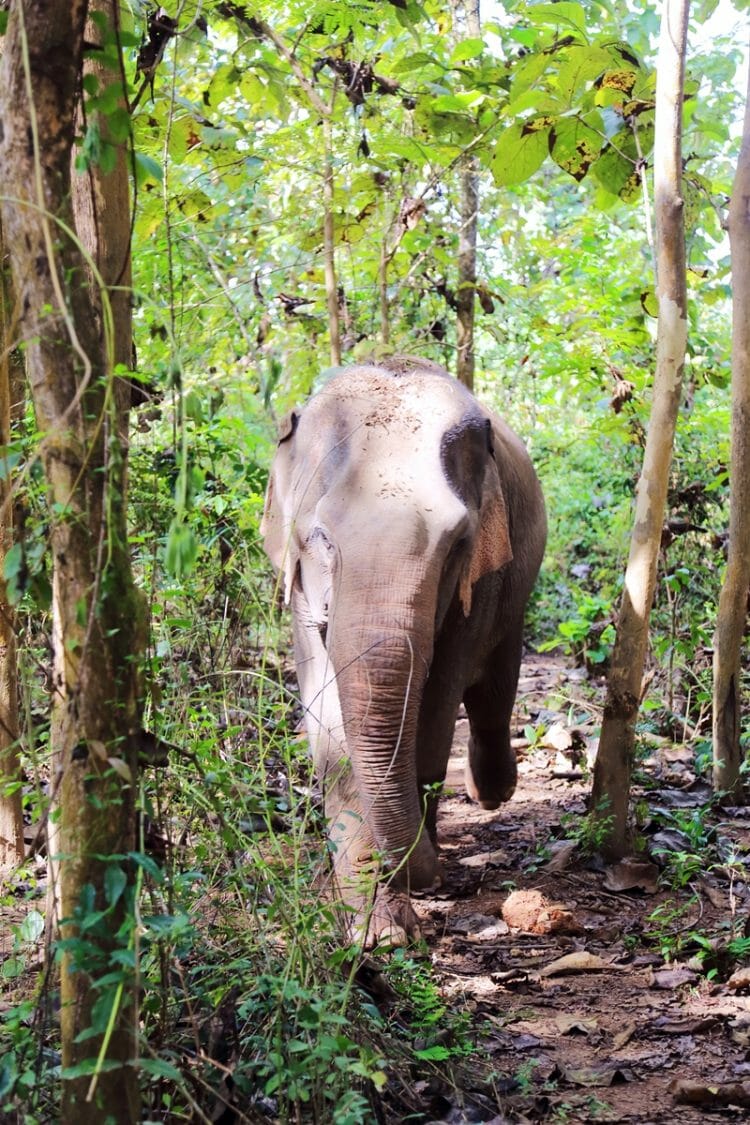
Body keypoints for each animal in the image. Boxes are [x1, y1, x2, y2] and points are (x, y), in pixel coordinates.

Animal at [261, 356, 546, 944]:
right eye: (319, 536)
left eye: (458, 543)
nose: (431, 875)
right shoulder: (299, 593)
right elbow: (330, 729)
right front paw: (379, 931)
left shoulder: (479, 582)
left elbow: (435, 714)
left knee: (494, 687)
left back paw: (491, 792)